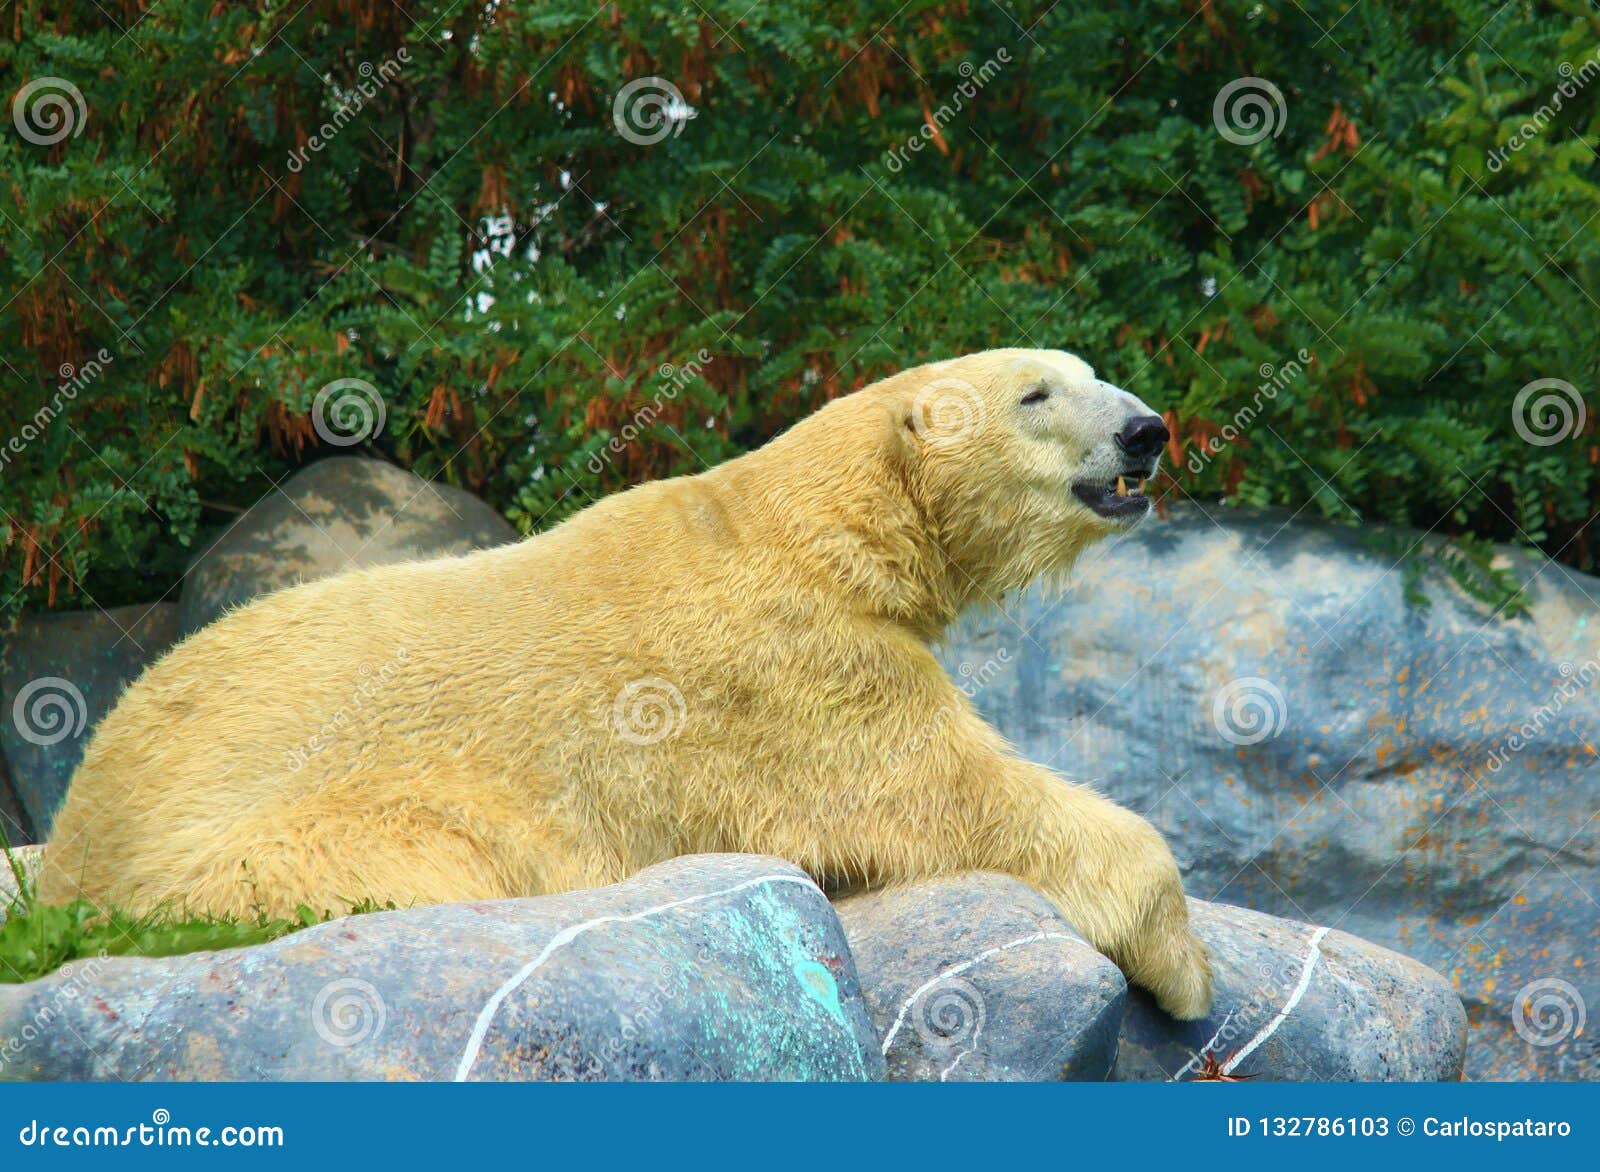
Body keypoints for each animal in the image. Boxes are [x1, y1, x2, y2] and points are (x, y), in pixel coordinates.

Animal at [41, 348, 1213, 1019]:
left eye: (1092, 370)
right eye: (1037, 392)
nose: (1147, 429)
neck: (820, 532)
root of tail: (70, 853)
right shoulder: (802, 673)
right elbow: (952, 793)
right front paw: (1186, 965)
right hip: (270, 843)